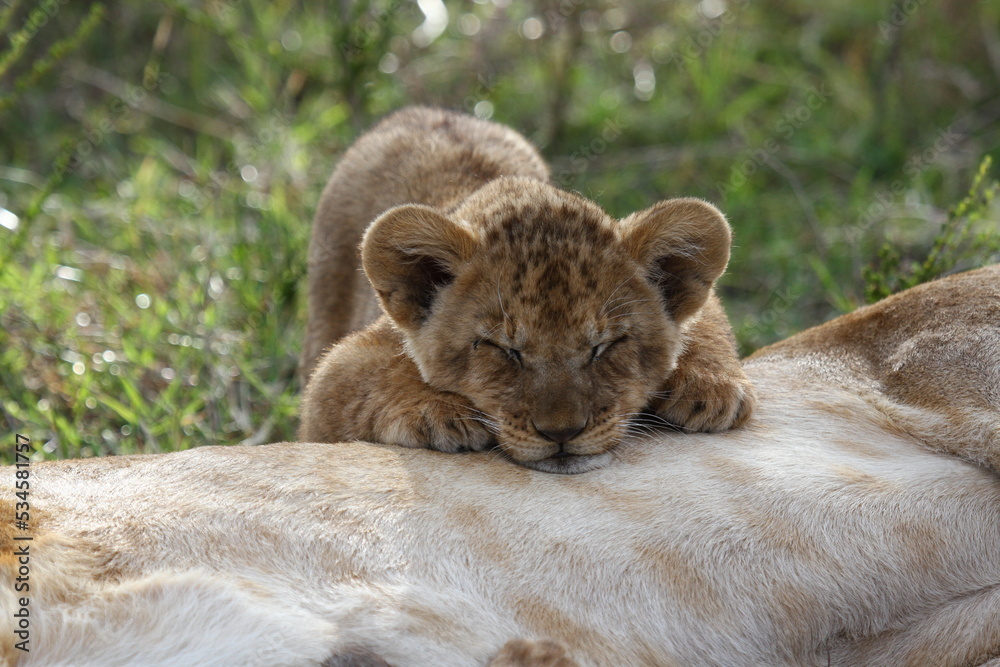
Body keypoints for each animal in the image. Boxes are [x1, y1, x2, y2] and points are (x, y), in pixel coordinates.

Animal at [299, 107, 755, 473]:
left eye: (605, 346)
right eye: (502, 349)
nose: (561, 433)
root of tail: (422, 111)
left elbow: (705, 317)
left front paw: (711, 385)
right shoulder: (328, 387)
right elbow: (368, 379)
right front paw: (438, 411)